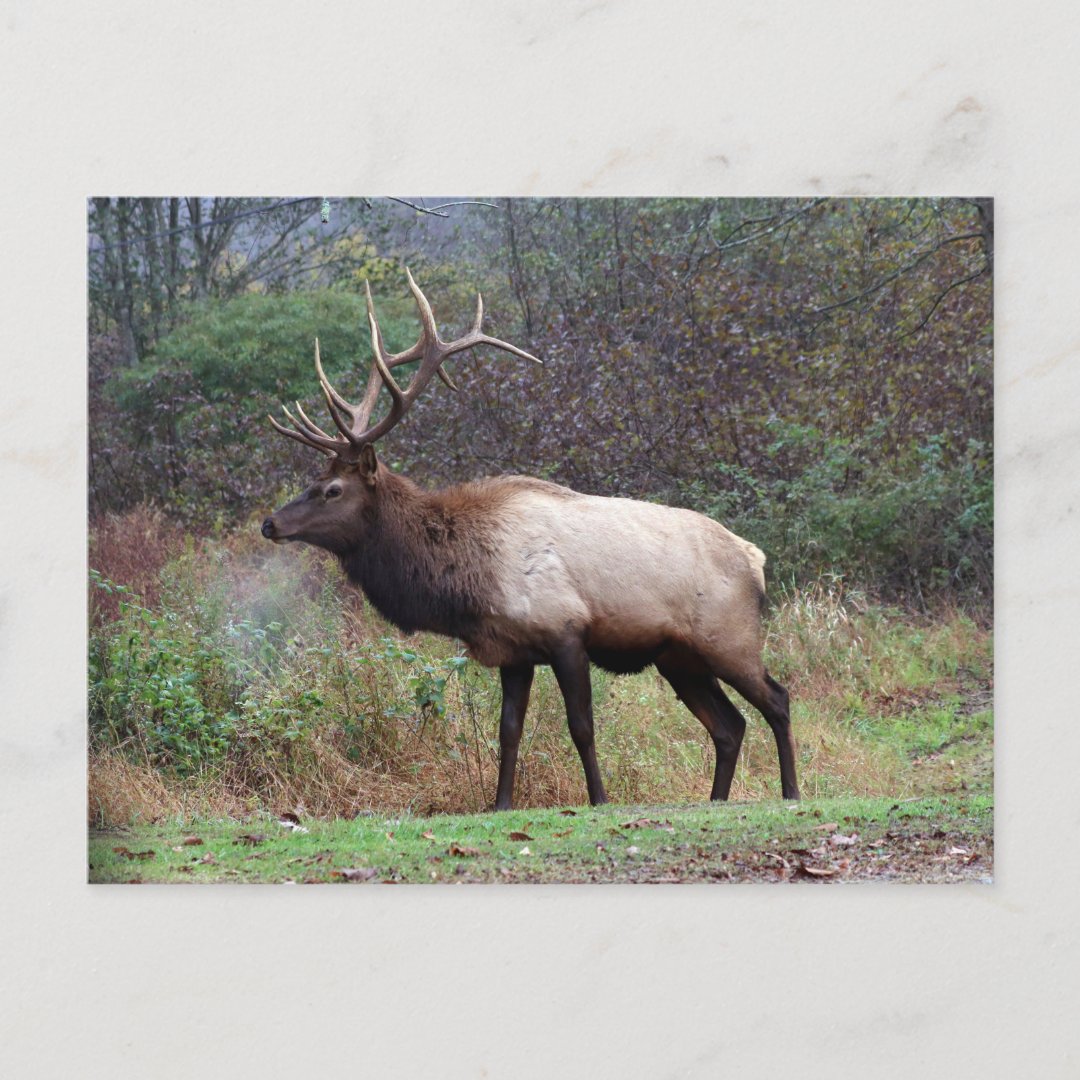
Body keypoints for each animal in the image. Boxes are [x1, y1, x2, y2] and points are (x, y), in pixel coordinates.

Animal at [261, 271, 799, 809]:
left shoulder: (565, 630)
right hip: (679, 658)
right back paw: (717, 799)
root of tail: (755, 558)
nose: (270, 524)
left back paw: (791, 791)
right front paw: (499, 803)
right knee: (729, 726)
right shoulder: (513, 652)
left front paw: (599, 799)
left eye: (332, 489)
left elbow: (581, 727)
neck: (466, 581)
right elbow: (509, 731)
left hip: (728, 637)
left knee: (777, 698)